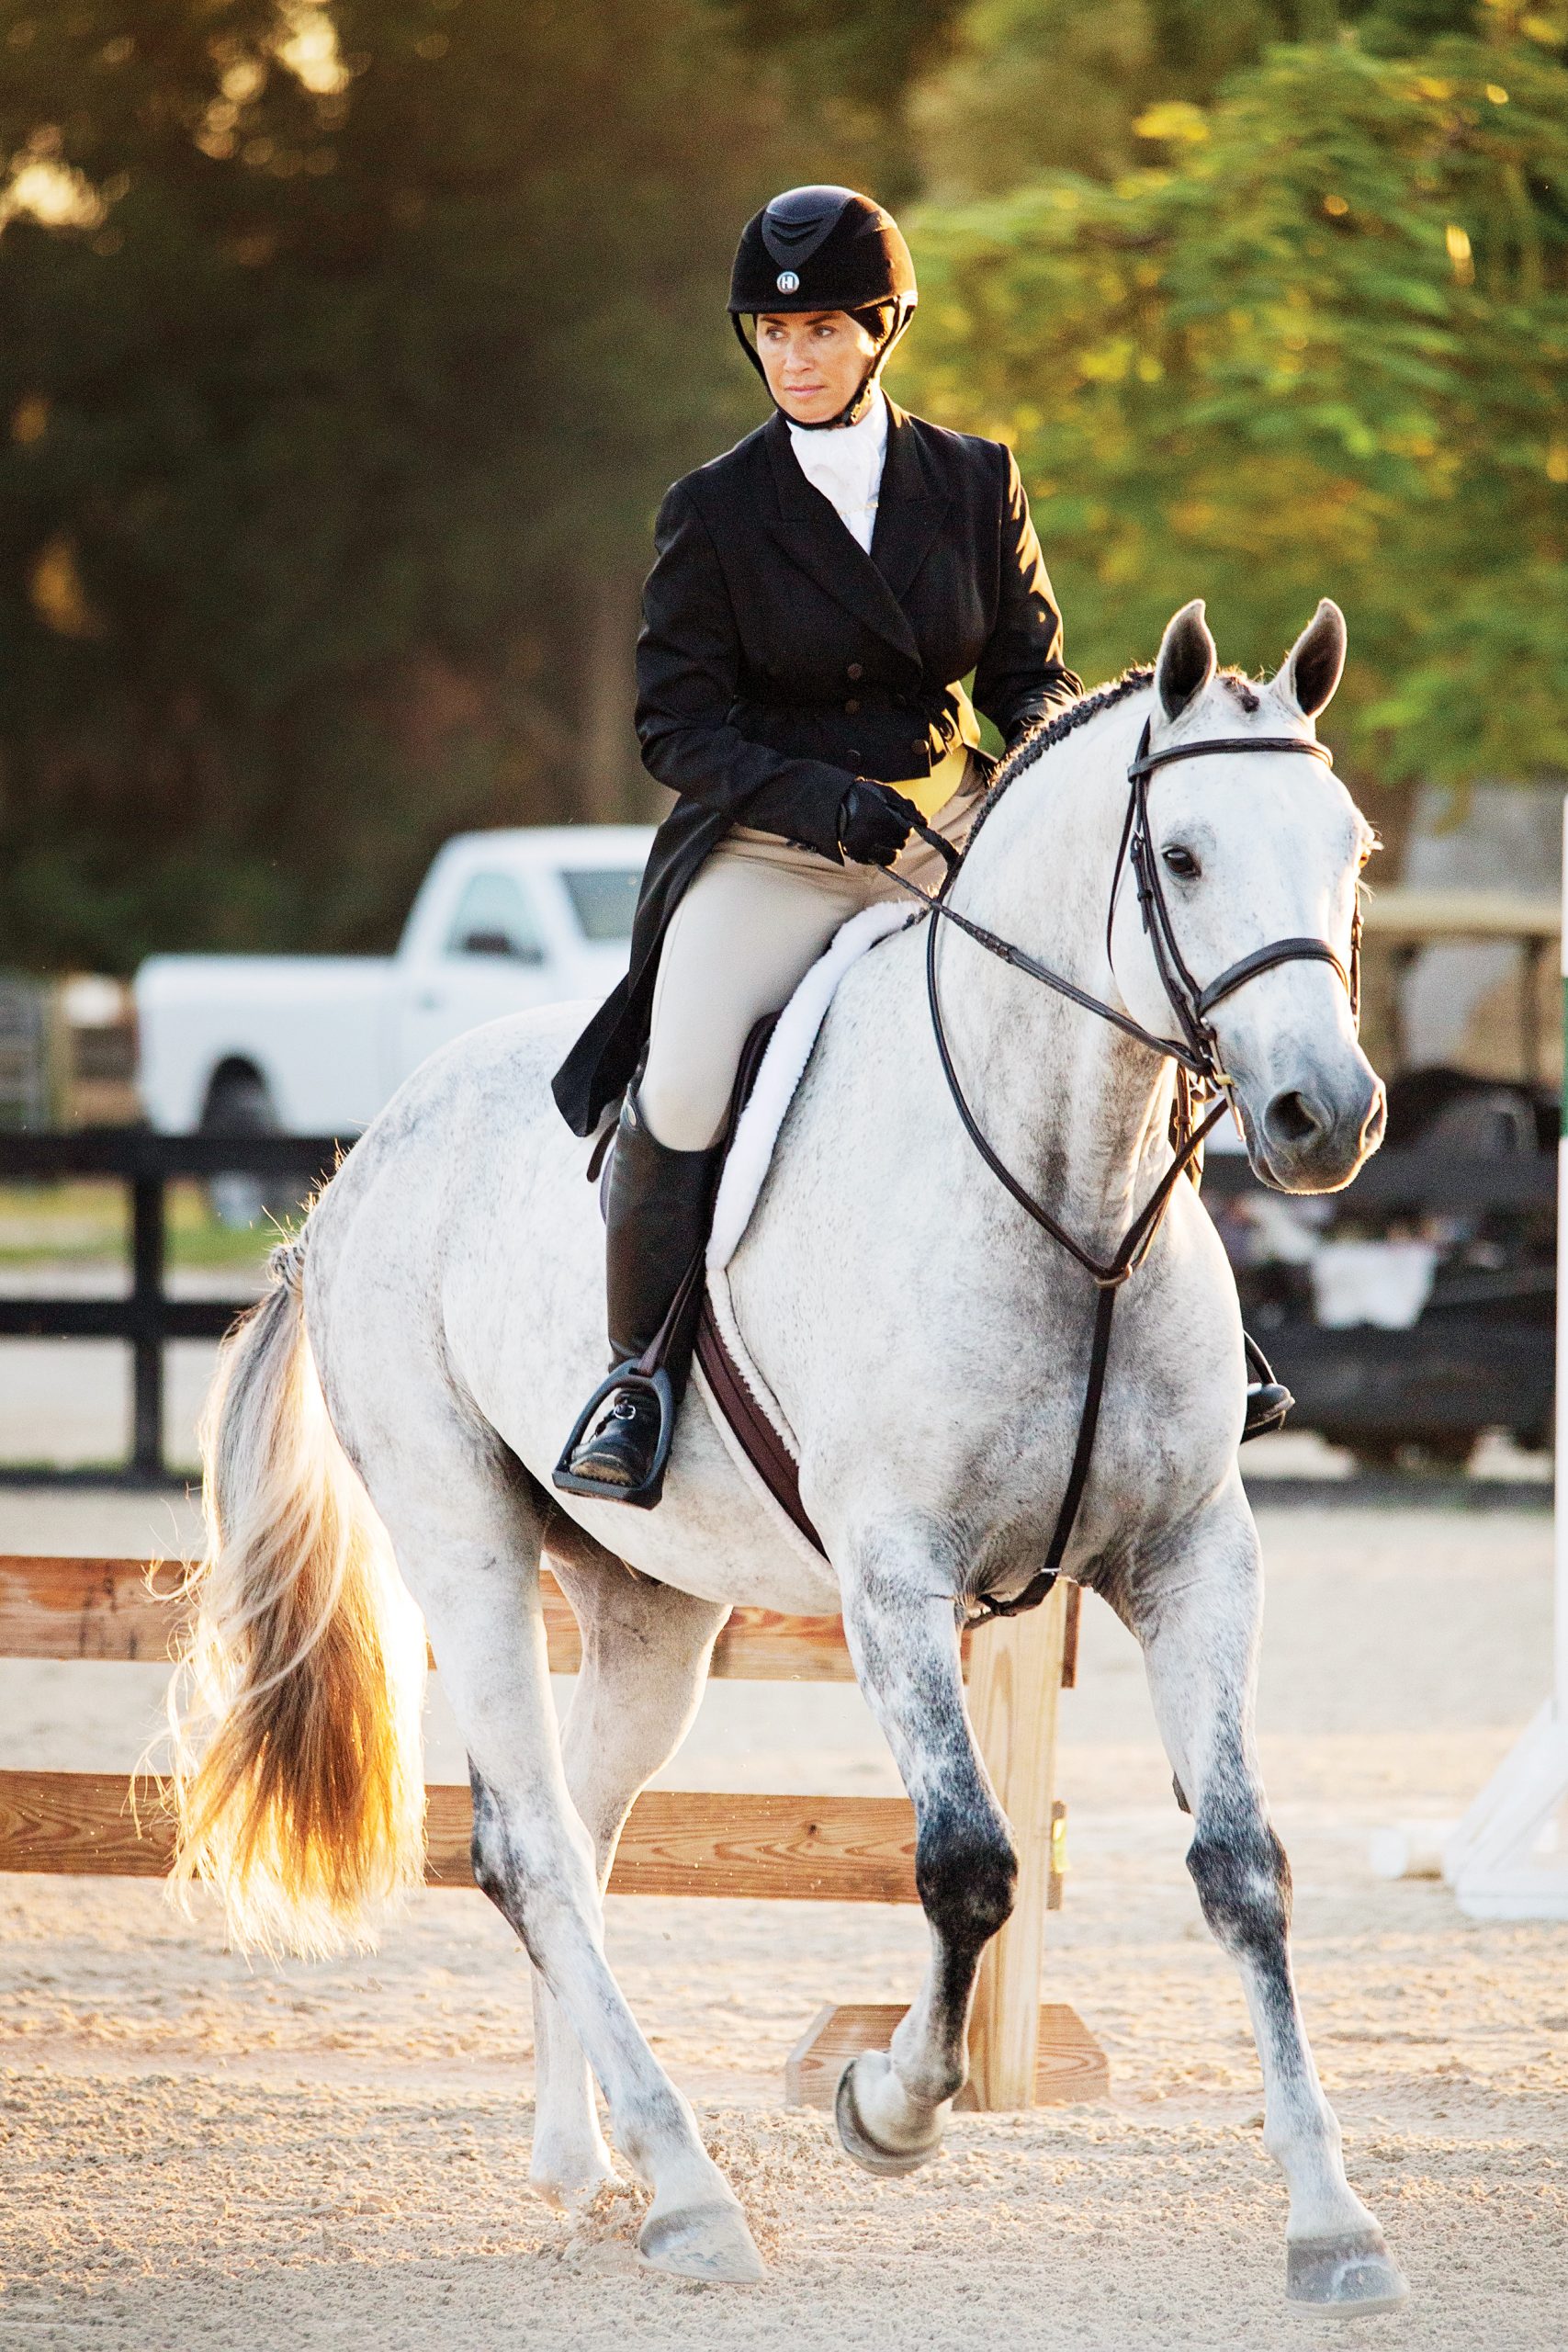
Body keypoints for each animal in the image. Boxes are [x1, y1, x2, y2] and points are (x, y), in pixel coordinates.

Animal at [167, 595, 1406, 2315]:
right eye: (1183, 855)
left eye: (1348, 849)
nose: (1321, 1116)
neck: (1070, 1196)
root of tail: (343, 1184)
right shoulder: (897, 1580)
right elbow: (968, 1864)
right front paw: (888, 2106)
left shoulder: (1189, 1559)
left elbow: (1238, 1865)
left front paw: (1331, 2224)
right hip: (460, 1532)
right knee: (530, 1847)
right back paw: (686, 2196)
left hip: (648, 1606)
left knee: (582, 1836)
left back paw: (590, 2171)